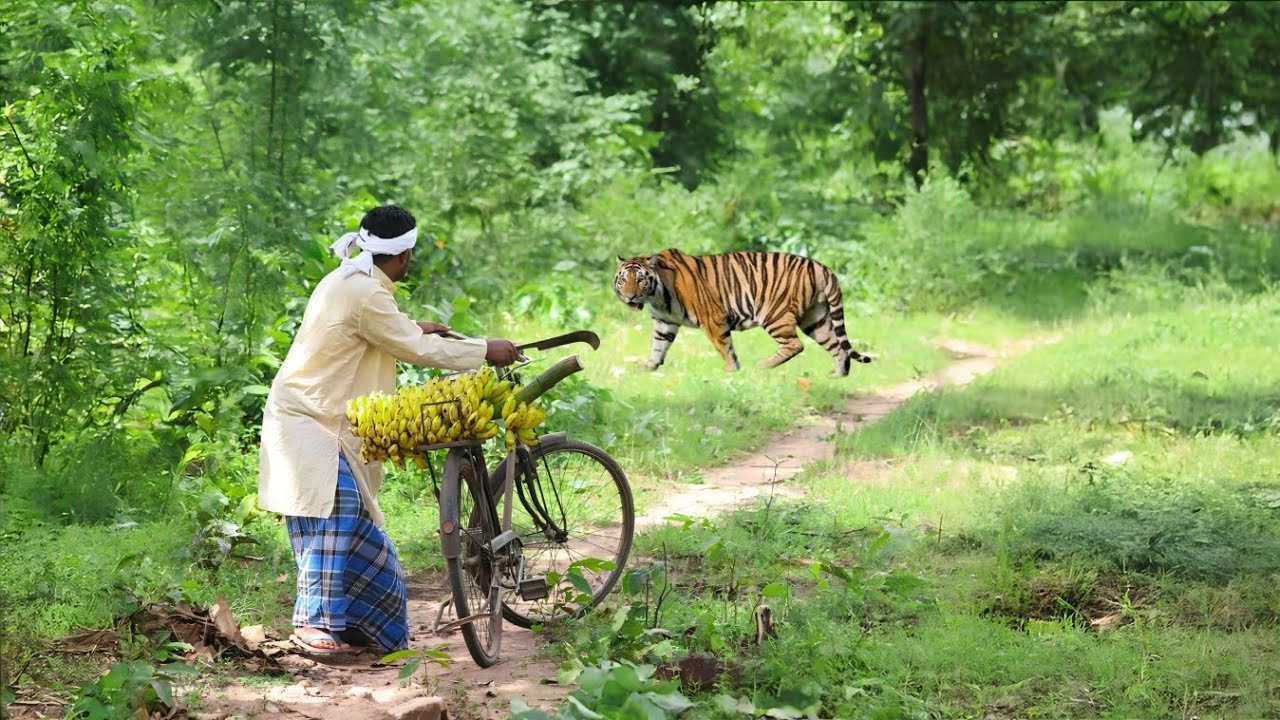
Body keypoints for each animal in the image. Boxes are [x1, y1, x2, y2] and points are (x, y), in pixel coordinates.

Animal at [614, 248, 873, 376]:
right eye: (623, 279)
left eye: (640, 280)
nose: (630, 296)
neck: (657, 296)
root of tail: (822, 267)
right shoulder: (663, 322)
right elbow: (658, 346)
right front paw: (649, 367)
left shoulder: (713, 317)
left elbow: (723, 345)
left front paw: (731, 370)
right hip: (815, 318)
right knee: (837, 346)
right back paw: (838, 375)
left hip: (774, 314)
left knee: (795, 344)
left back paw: (764, 365)